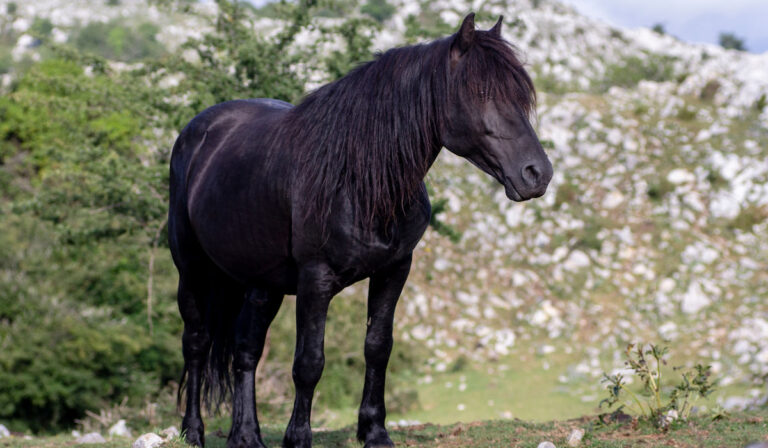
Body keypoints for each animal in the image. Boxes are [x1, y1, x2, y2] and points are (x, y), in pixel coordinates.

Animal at [168, 12, 552, 448]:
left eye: (521, 96)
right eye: (481, 92)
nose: (537, 174)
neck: (357, 179)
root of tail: (200, 130)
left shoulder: (394, 271)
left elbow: (377, 348)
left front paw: (374, 431)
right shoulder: (315, 280)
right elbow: (309, 361)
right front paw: (298, 438)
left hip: (260, 284)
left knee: (245, 349)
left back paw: (246, 435)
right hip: (193, 271)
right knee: (196, 343)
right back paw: (193, 431)